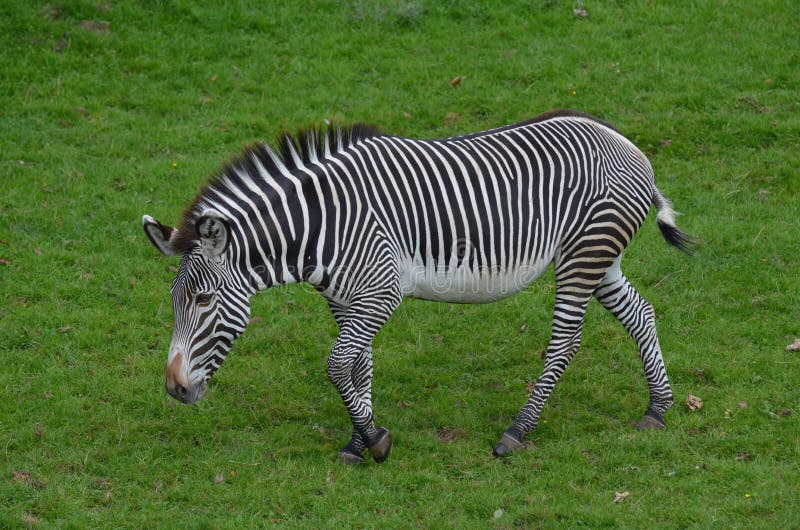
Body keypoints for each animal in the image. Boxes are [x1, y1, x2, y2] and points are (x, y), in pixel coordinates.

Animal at [142, 109, 694, 464]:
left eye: (203, 300)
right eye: (173, 302)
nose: (174, 389)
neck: (319, 226)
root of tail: (626, 142)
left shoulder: (380, 292)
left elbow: (337, 364)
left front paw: (375, 441)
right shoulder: (346, 299)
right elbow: (357, 366)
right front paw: (357, 442)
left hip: (585, 254)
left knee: (565, 342)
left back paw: (517, 431)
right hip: (600, 257)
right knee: (641, 313)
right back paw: (658, 409)